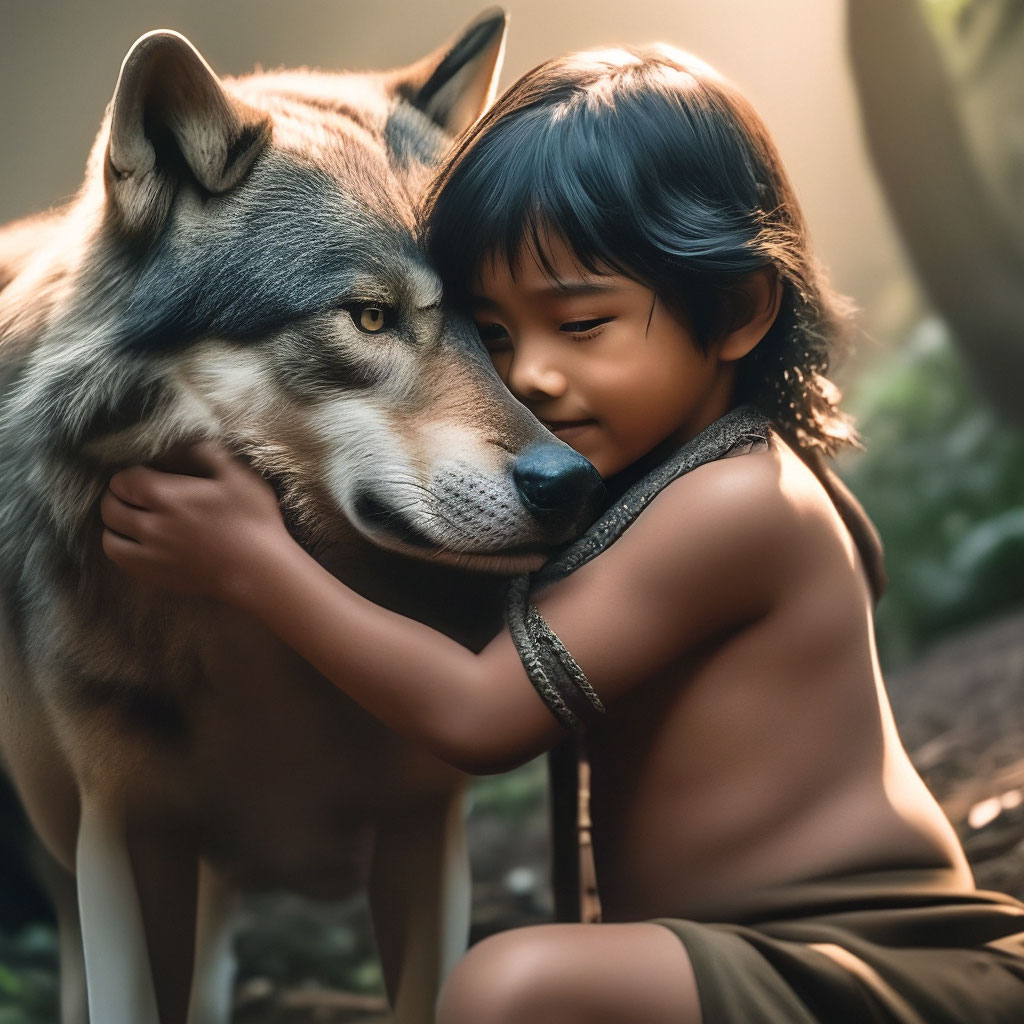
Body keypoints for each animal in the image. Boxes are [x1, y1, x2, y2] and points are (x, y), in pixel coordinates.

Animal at [0, 12, 603, 1024]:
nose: (569, 482)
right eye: (370, 317)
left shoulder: (424, 832)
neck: (271, 662)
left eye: (494, 316)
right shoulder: (126, 838)